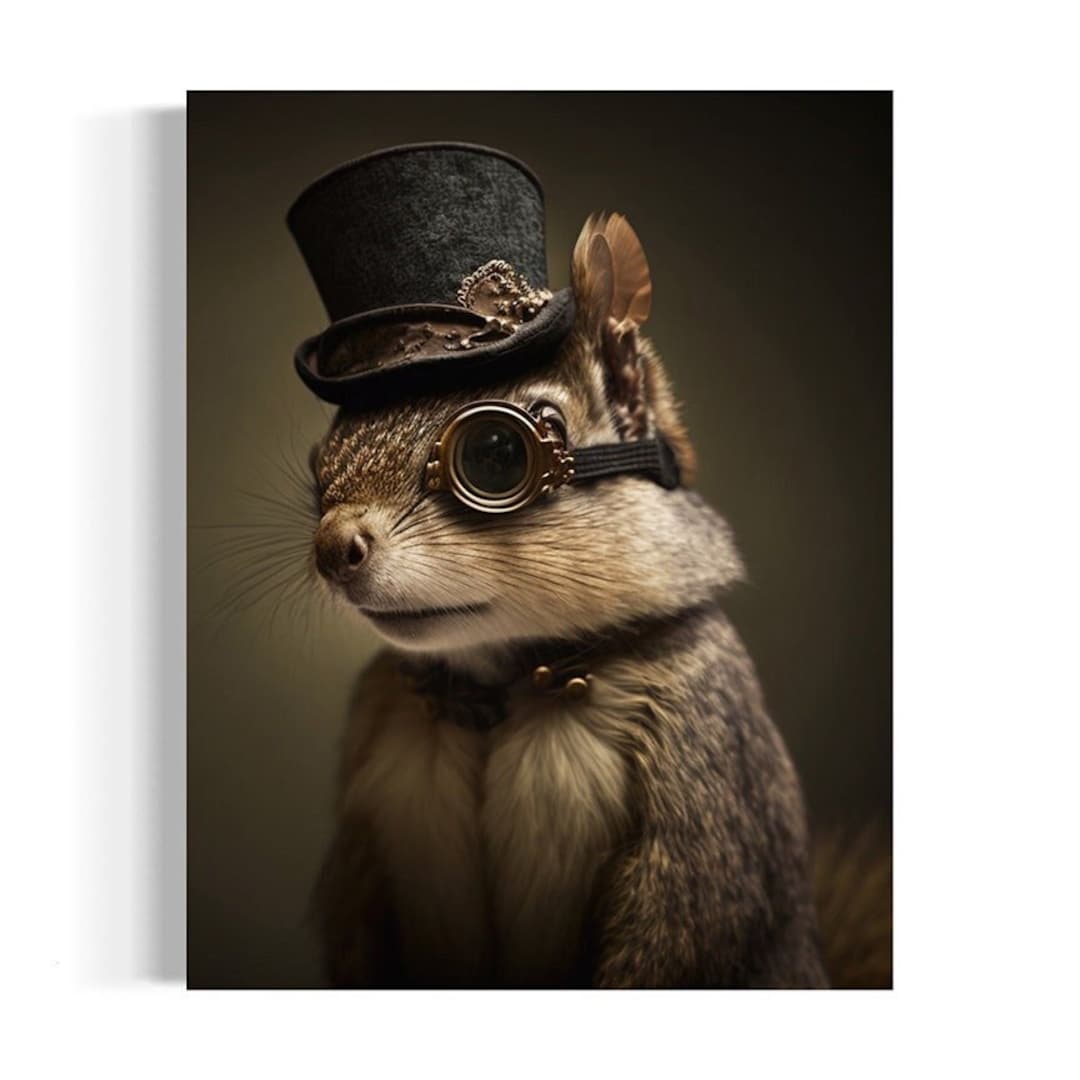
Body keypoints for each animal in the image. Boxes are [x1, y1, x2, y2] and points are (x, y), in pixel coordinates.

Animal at [306, 212, 885, 989]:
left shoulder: (704, 759)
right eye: (323, 456)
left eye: (496, 454)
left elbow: (684, 937)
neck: (503, 689)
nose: (332, 547)